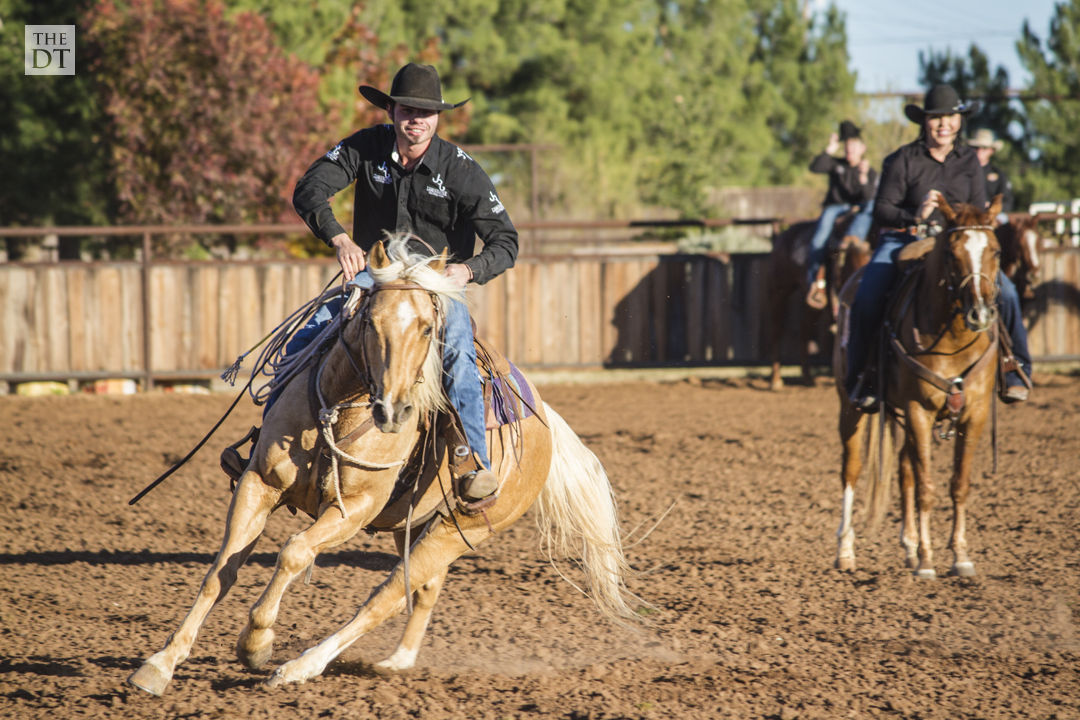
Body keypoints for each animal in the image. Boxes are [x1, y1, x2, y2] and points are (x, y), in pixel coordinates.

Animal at [128, 236, 637, 696]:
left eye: (429, 329)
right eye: (370, 322)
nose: (394, 411)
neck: (339, 408)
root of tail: (542, 416)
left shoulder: (354, 509)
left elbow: (295, 551)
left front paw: (256, 643)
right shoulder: (258, 483)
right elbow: (222, 570)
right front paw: (162, 662)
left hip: (462, 531)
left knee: (385, 598)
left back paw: (299, 667)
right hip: (412, 524)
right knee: (422, 588)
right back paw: (398, 661)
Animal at [766, 215, 871, 391]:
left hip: (813, 305)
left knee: (804, 329)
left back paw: (808, 377)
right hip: (779, 291)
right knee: (776, 329)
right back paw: (776, 380)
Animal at [831, 196, 1003, 577]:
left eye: (996, 251)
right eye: (952, 253)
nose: (980, 313)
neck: (953, 338)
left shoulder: (975, 414)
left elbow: (958, 485)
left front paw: (959, 556)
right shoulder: (918, 411)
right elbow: (927, 487)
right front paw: (927, 561)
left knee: (904, 468)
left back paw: (909, 545)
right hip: (851, 406)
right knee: (852, 469)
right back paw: (846, 550)